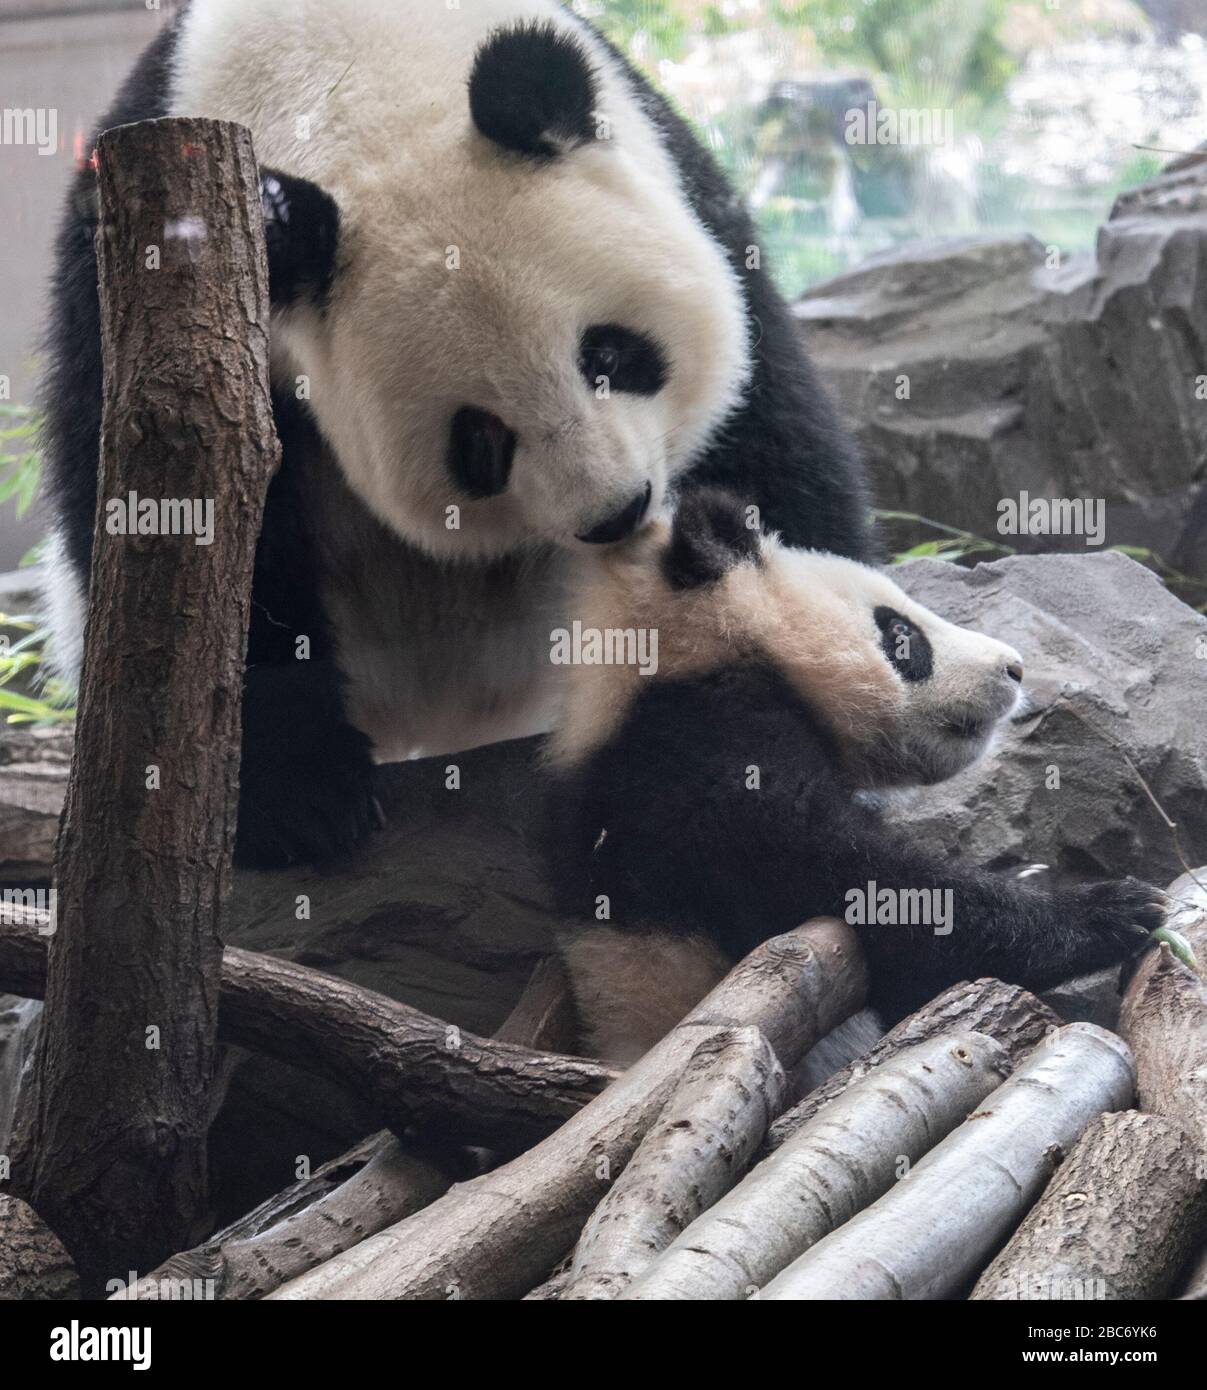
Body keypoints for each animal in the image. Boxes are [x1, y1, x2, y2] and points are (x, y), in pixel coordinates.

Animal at [40, 0, 870, 865]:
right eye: (479, 442)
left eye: (607, 354)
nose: (617, 511)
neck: (348, 82)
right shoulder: (149, 269)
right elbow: (202, 537)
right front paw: (296, 796)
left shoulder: (674, 175)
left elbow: (762, 447)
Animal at [542, 489, 1168, 1066]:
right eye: (900, 632)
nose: (1014, 667)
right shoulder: (697, 763)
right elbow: (855, 886)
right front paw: (1115, 908)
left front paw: (1033, 871)